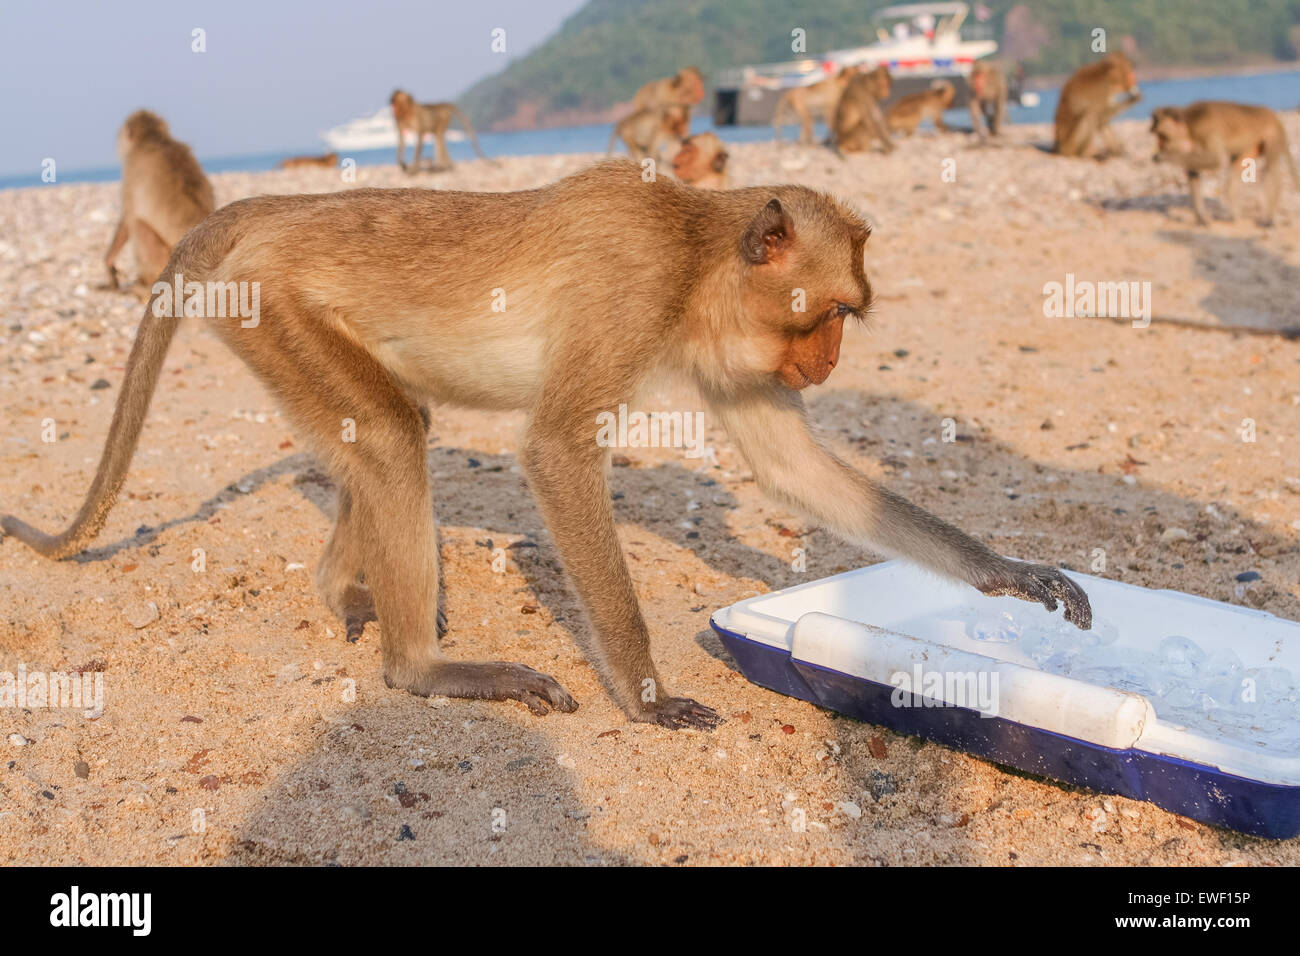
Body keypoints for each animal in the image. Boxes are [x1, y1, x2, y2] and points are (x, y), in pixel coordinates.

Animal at [1, 161, 1092, 730]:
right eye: (826, 316)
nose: (824, 360)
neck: (693, 249)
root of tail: (272, 210)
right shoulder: (632, 291)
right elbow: (560, 452)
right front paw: (647, 697)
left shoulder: (720, 345)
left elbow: (795, 471)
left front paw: (1005, 574)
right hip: (270, 305)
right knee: (391, 436)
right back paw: (422, 667)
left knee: (391, 432)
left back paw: (341, 587)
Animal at [103, 110, 215, 297]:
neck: (154, 138)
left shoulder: (131, 169)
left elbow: (128, 219)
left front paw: (109, 261)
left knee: (139, 226)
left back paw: (144, 287)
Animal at [1150, 102, 1300, 227]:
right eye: (1158, 136)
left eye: (1162, 136)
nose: (1160, 146)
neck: (1190, 126)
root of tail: (1275, 117)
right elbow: (1193, 171)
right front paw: (1201, 218)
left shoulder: (1206, 130)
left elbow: (1215, 160)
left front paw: (1166, 156)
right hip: (1252, 145)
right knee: (1237, 167)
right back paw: (1235, 215)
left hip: (1272, 135)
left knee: (1270, 168)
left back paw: (1269, 218)